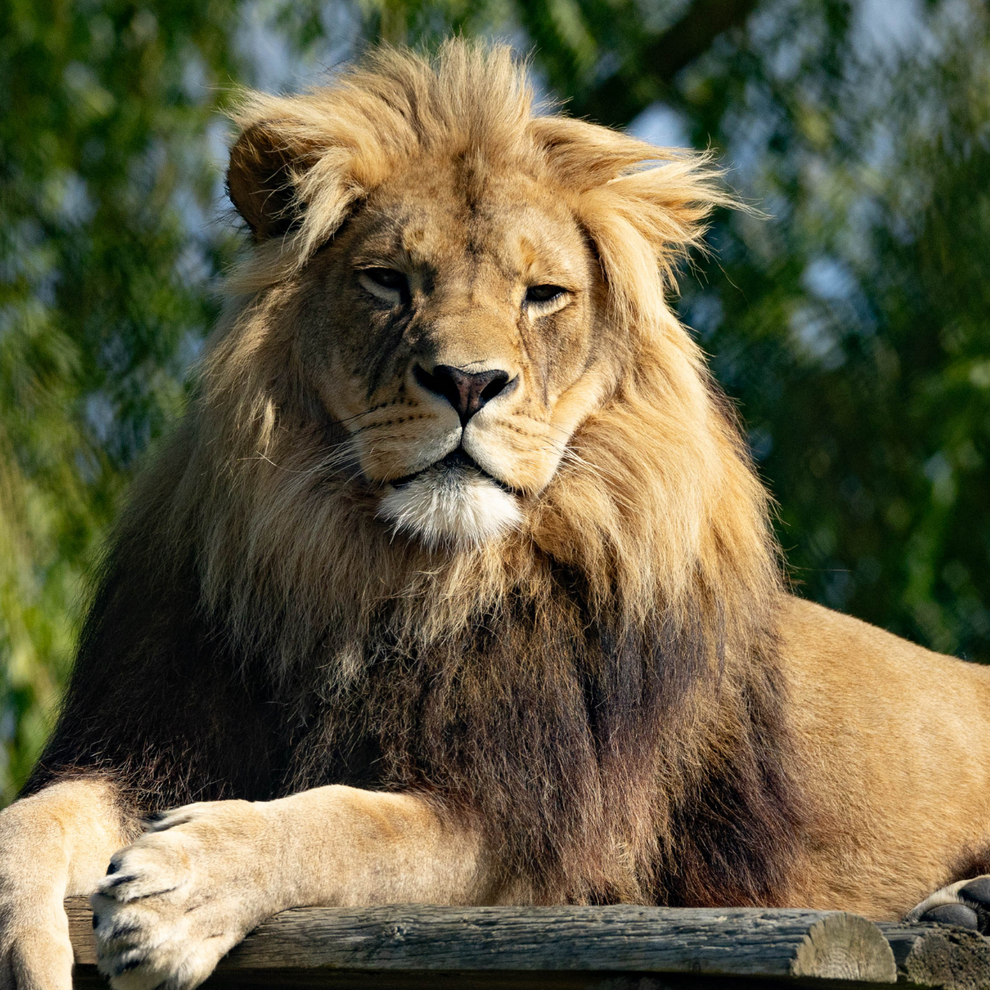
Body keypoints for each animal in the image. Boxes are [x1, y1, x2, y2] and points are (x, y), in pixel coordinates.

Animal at [1, 39, 989, 990]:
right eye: (387, 281)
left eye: (542, 295)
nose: (469, 382)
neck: (393, 580)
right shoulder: (158, 732)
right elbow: (28, 822)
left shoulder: (545, 834)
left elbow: (352, 827)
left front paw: (180, 889)